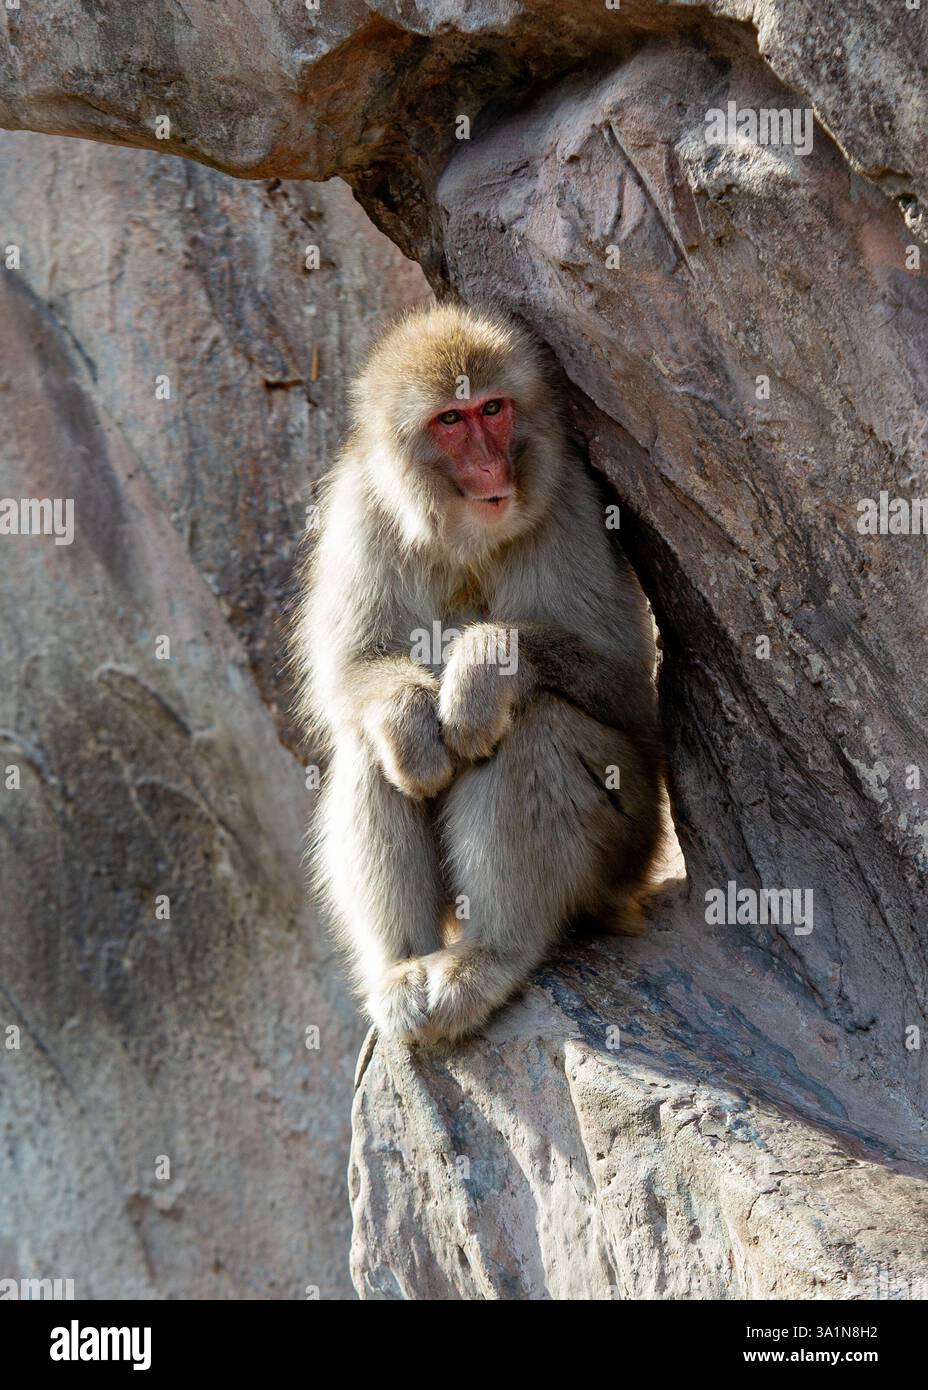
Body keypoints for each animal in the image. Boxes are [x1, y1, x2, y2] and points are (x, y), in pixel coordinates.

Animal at [293, 302, 664, 1043]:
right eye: (451, 420)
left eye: (493, 408)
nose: (491, 465)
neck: (467, 538)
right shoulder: (360, 510)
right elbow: (350, 674)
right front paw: (409, 719)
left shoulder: (576, 505)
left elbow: (627, 686)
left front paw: (482, 669)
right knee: (370, 747)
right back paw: (403, 968)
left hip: (629, 842)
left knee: (535, 727)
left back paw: (495, 952)